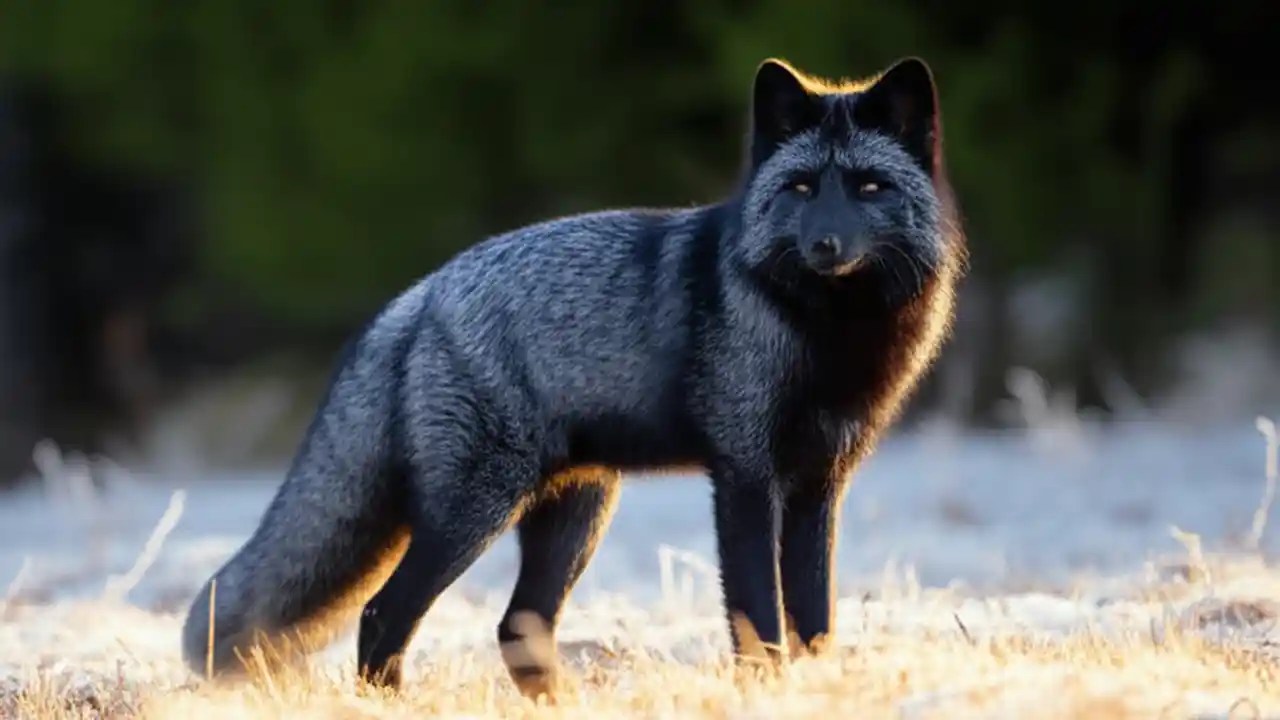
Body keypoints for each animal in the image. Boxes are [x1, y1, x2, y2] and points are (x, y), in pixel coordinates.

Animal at [181, 56, 966, 698]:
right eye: (801, 188)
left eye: (868, 186)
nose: (826, 245)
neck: (825, 335)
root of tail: (419, 295)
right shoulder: (744, 475)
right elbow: (758, 618)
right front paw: (767, 690)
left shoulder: (818, 484)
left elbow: (814, 619)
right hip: (476, 508)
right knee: (382, 614)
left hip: (576, 513)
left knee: (516, 629)